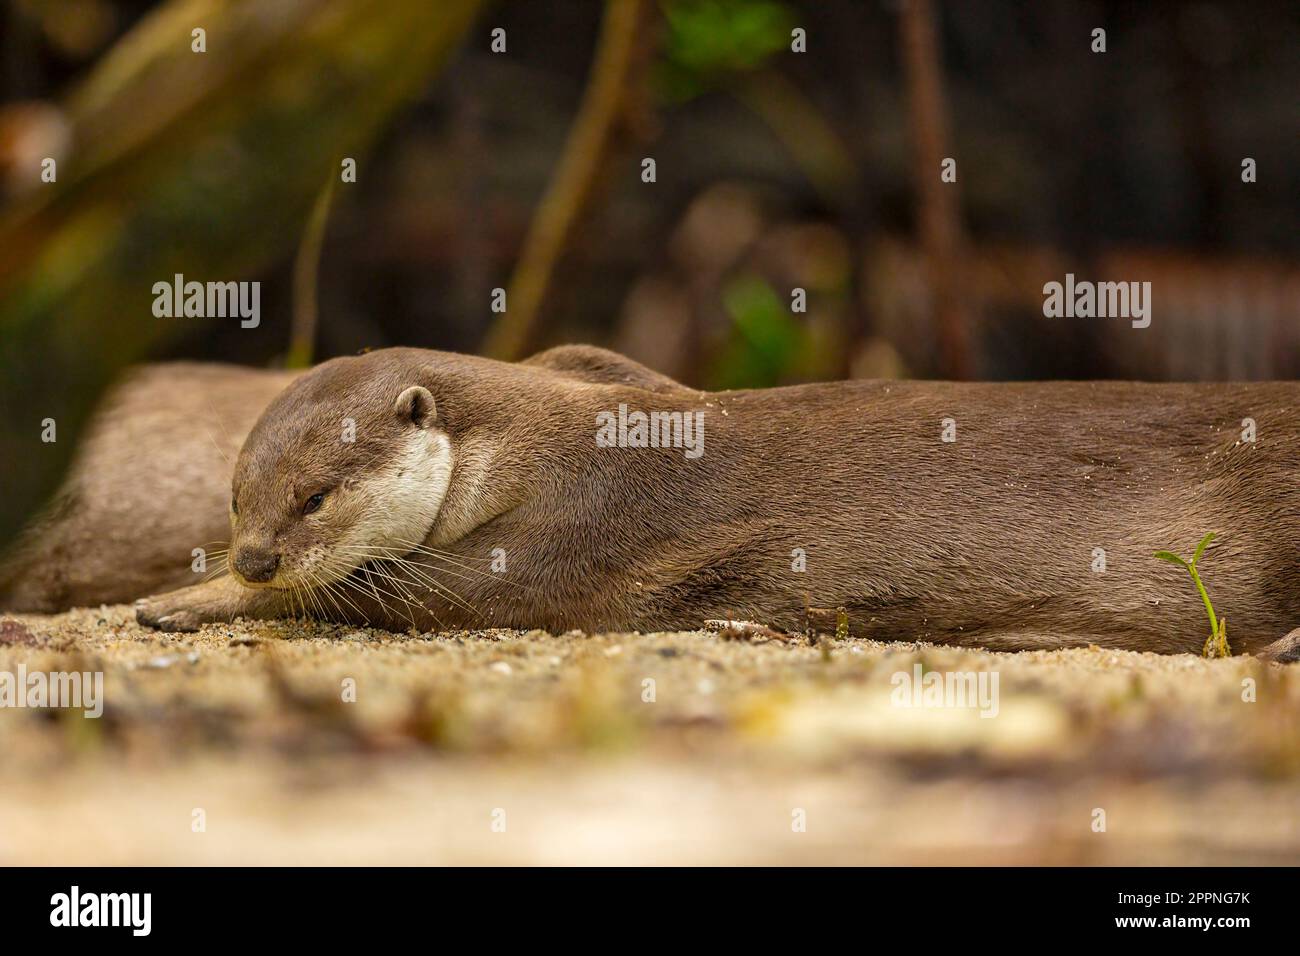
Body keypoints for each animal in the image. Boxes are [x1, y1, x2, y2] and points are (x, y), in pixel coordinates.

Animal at [123, 345, 1300, 659]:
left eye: (316, 496)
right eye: (240, 494)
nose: (253, 554)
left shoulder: (572, 534)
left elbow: (380, 591)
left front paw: (188, 601)